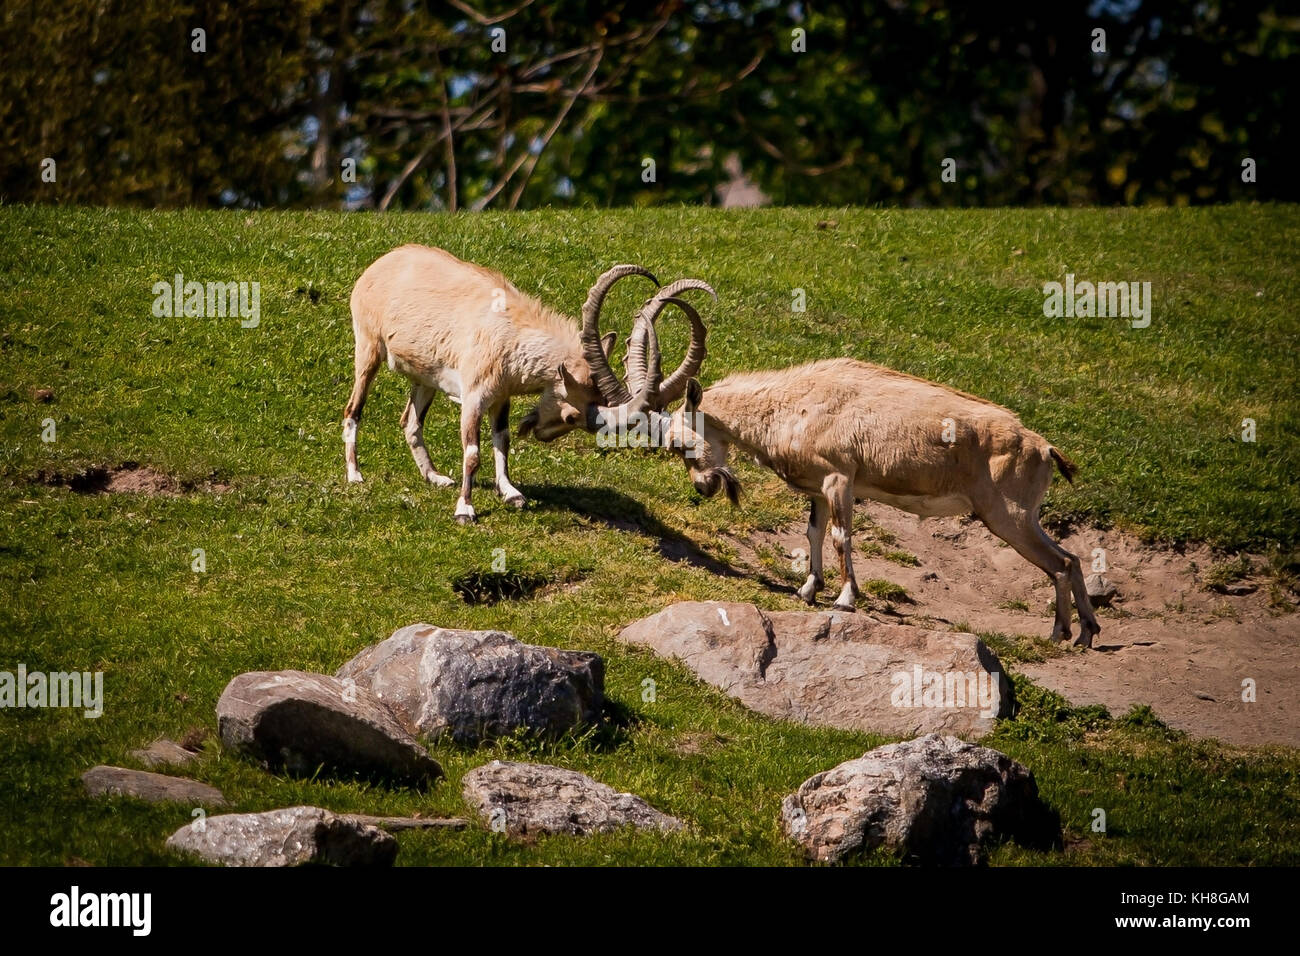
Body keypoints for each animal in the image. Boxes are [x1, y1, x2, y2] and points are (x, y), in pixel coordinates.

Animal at [344, 244, 711, 523]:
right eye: (573, 417)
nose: (540, 432)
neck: (509, 330)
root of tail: (380, 264)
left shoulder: (500, 397)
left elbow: (502, 440)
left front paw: (511, 494)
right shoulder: (474, 396)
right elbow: (473, 453)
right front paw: (465, 511)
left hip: (425, 377)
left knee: (409, 420)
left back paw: (434, 477)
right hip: (368, 348)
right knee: (353, 409)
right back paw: (354, 474)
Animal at [655, 358, 1100, 648]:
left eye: (678, 443)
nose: (704, 487)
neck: (796, 404)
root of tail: (1044, 448)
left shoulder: (840, 479)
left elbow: (841, 537)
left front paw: (845, 599)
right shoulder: (819, 489)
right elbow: (814, 533)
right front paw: (807, 590)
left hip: (1008, 516)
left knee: (1060, 564)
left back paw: (1060, 633)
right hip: (1025, 517)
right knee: (1073, 558)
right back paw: (1086, 632)